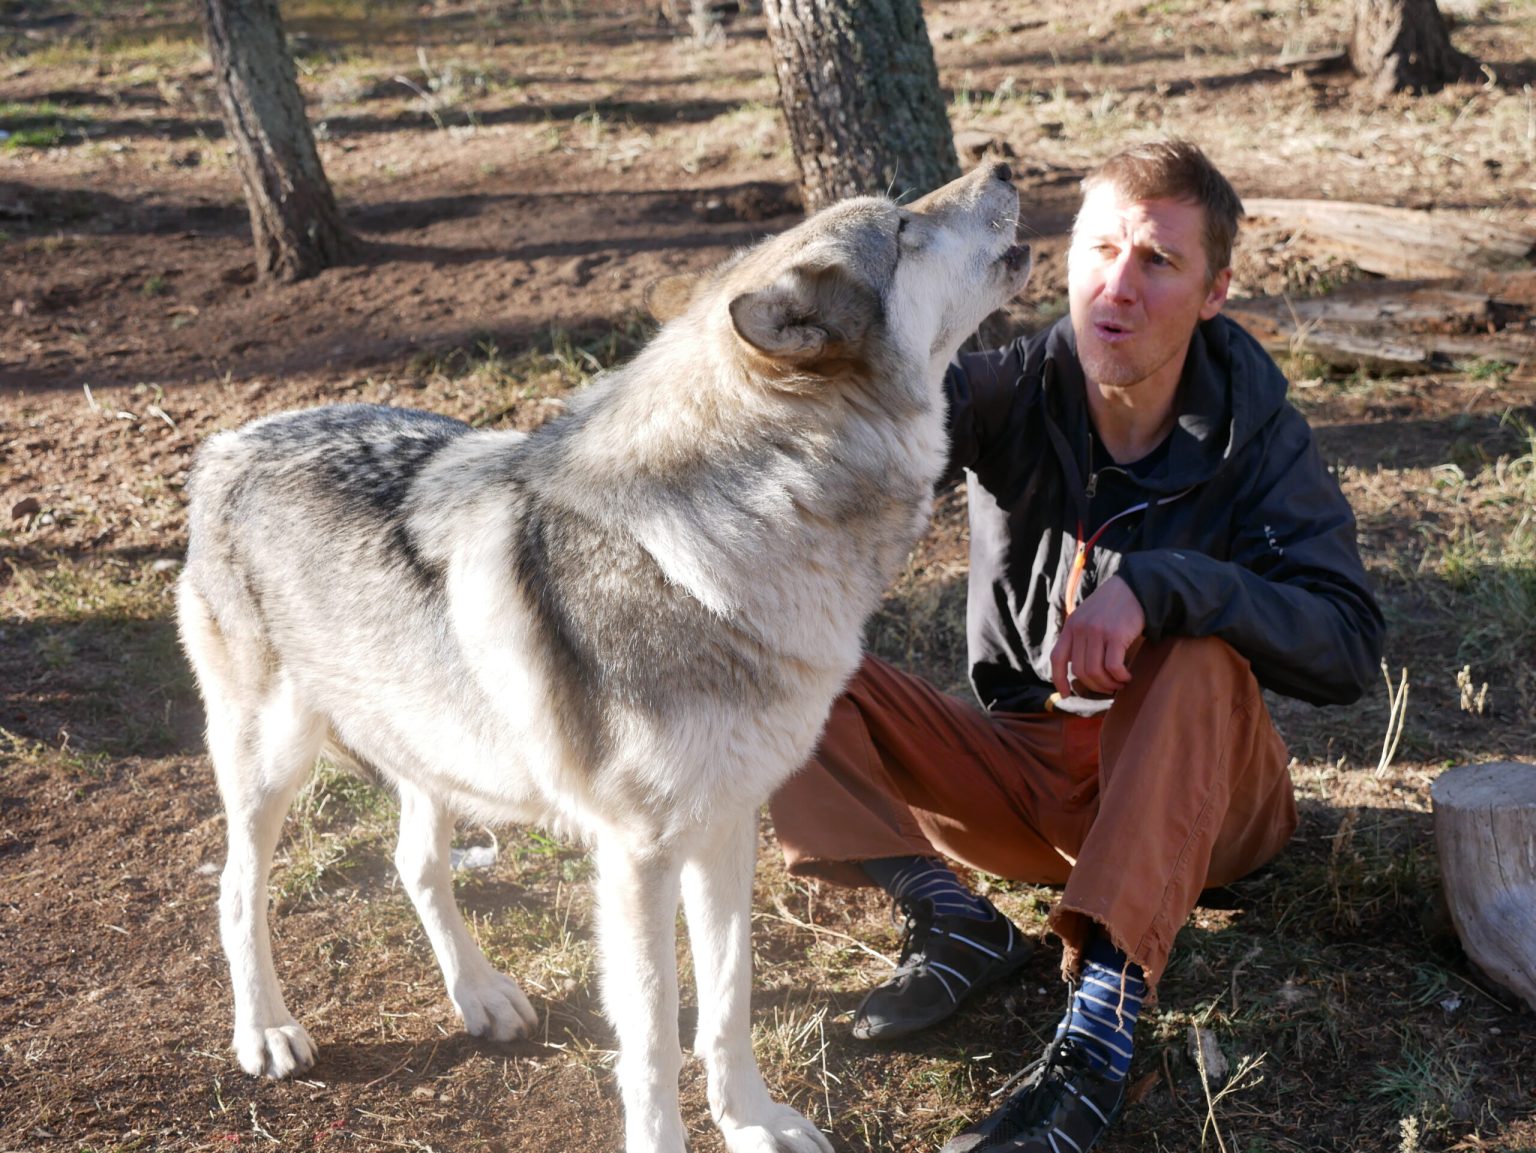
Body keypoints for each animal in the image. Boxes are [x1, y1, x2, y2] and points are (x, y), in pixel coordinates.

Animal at [178, 162, 1031, 1153]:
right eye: (902, 230)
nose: (1003, 165)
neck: (725, 541)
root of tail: (226, 443)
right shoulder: (638, 857)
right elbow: (655, 1036)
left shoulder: (729, 826)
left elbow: (728, 1002)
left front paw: (754, 1123)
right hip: (272, 763)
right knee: (236, 890)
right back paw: (268, 1031)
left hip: (429, 749)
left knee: (414, 862)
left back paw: (482, 995)